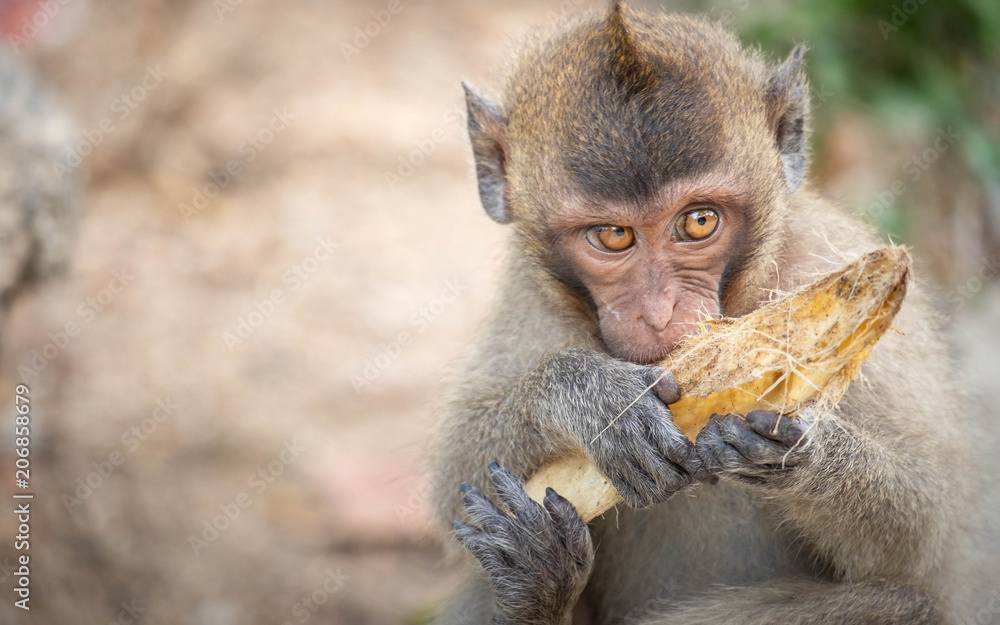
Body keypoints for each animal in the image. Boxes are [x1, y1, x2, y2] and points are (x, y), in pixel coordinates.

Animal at [428, 2, 973, 624]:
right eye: (612, 236)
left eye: (698, 222)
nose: (660, 311)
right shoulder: (530, 296)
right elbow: (454, 488)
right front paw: (593, 398)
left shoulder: (832, 260)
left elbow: (923, 536)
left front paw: (794, 453)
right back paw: (535, 584)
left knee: (906, 600)